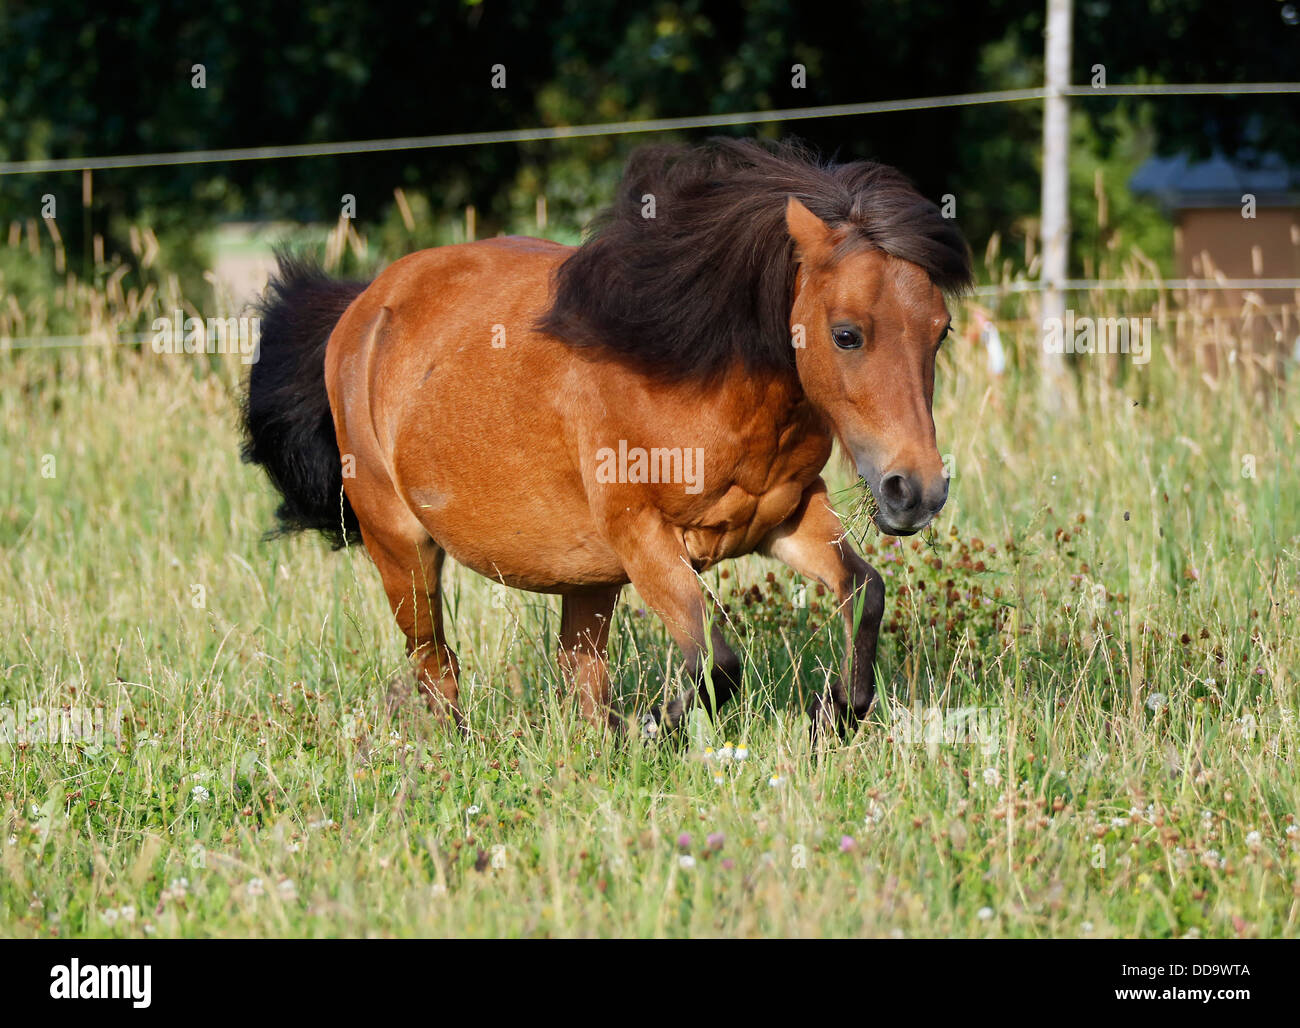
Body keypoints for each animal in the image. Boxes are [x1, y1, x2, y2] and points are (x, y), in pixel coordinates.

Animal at [241, 138, 972, 740]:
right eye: (847, 334)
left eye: (940, 331)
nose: (915, 492)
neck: (688, 371)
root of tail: (365, 307)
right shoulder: (643, 539)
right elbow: (717, 660)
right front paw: (657, 725)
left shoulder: (783, 519)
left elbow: (864, 592)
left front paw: (835, 711)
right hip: (401, 549)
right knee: (437, 667)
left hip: (584, 581)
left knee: (578, 676)